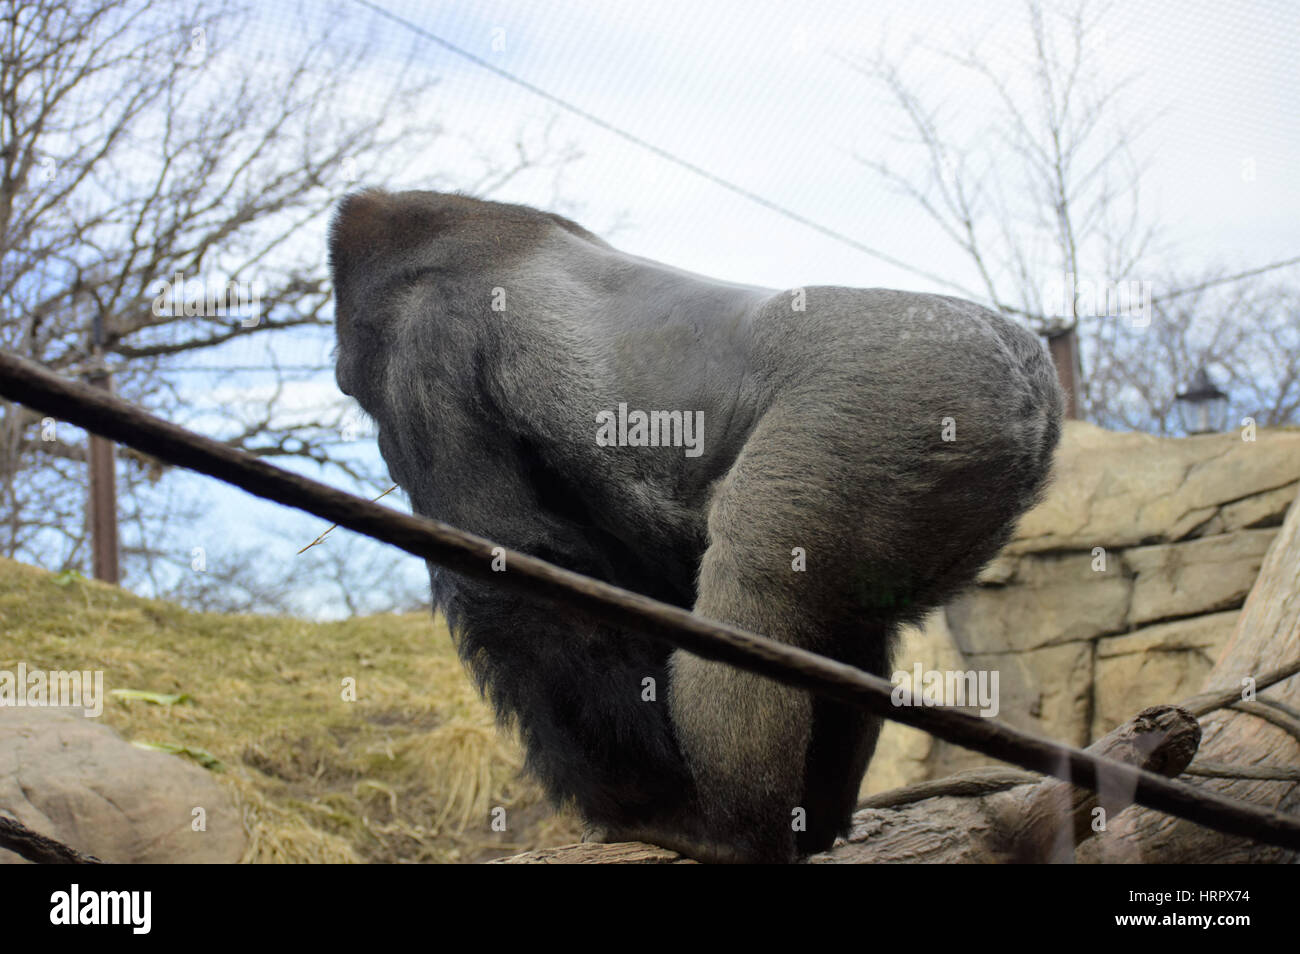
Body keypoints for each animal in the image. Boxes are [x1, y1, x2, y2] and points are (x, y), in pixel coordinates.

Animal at [328, 188, 1063, 863]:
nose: (340, 379)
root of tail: (1028, 368)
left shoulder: (423, 346)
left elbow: (517, 572)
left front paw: (639, 805)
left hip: (904, 395)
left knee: (758, 601)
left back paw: (733, 830)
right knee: (847, 621)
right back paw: (813, 824)